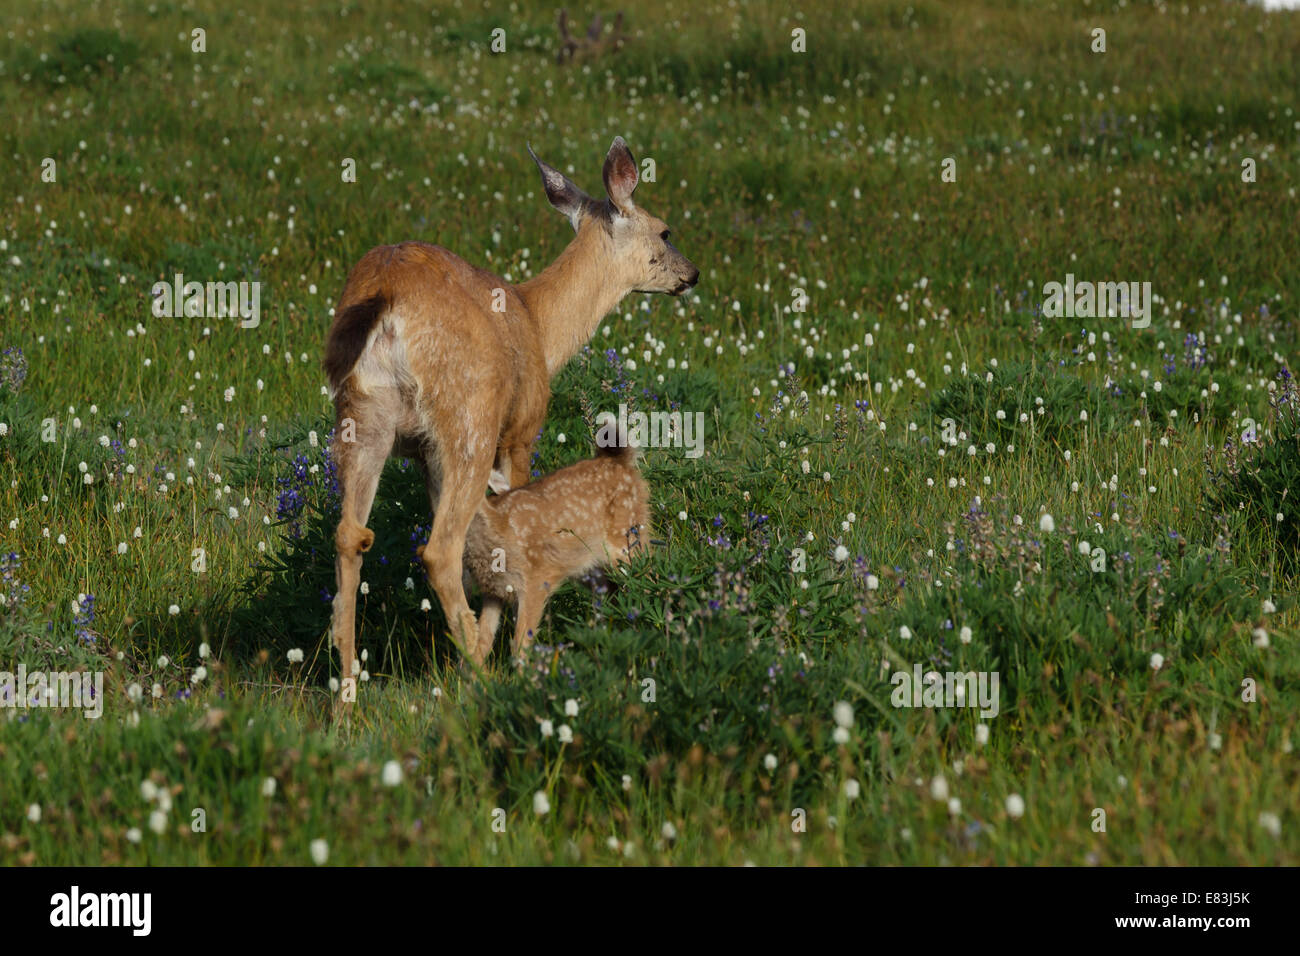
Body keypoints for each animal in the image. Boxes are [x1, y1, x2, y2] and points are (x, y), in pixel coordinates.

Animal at [454, 416, 650, 662]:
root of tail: (620, 461)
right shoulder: (493, 590)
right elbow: (482, 642)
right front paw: (473, 673)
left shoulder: (535, 580)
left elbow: (520, 643)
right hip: (591, 569)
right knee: (611, 597)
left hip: (630, 543)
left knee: (648, 580)